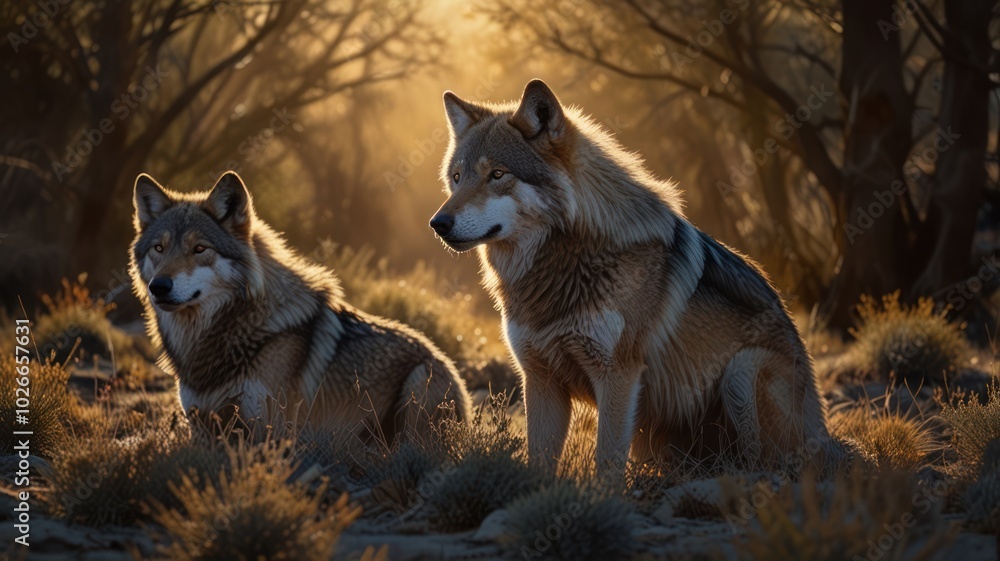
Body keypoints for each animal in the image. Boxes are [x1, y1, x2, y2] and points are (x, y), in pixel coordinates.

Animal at [130, 171, 471, 442]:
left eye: (199, 249)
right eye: (159, 248)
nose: (159, 286)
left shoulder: (268, 429)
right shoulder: (201, 428)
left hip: (419, 383)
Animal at [430, 79, 834, 474]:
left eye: (497, 174)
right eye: (457, 178)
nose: (438, 223)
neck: (565, 266)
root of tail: (825, 430)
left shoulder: (618, 376)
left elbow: (606, 463)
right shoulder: (540, 379)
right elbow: (539, 463)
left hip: (741, 372)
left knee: (768, 467)